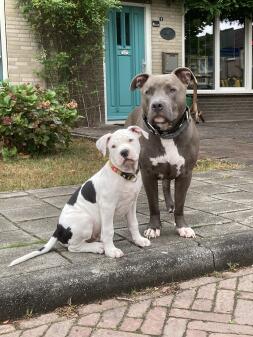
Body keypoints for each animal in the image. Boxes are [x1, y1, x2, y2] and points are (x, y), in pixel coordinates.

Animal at [9, 126, 150, 266]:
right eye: (113, 146)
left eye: (130, 140)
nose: (124, 152)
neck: (124, 175)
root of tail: (58, 228)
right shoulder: (107, 207)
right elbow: (109, 230)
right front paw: (111, 251)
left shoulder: (131, 204)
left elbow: (133, 223)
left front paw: (139, 240)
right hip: (85, 220)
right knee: (73, 247)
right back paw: (98, 247)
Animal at [125, 66, 199, 239]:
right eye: (148, 91)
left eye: (172, 89)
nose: (157, 104)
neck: (167, 133)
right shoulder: (148, 174)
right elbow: (153, 205)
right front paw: (153, 227)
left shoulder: (185, 174)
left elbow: (180, 204)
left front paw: (182, 227)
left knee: (166, 186)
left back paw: (170, 205)